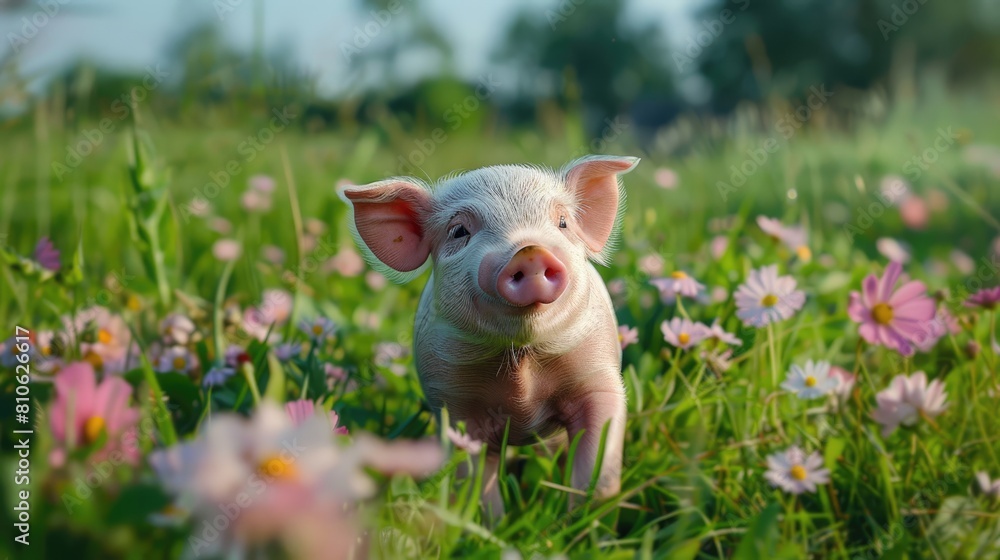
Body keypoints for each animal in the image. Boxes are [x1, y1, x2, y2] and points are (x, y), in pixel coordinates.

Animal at [338, 155, 639, 516]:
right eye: (459, 231)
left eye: (563, 223)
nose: (530, 251)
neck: (522, 362)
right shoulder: (454, 405)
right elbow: (475, 483)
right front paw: (492, 524)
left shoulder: (598, 376)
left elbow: (598, 465)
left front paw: (585, 520)